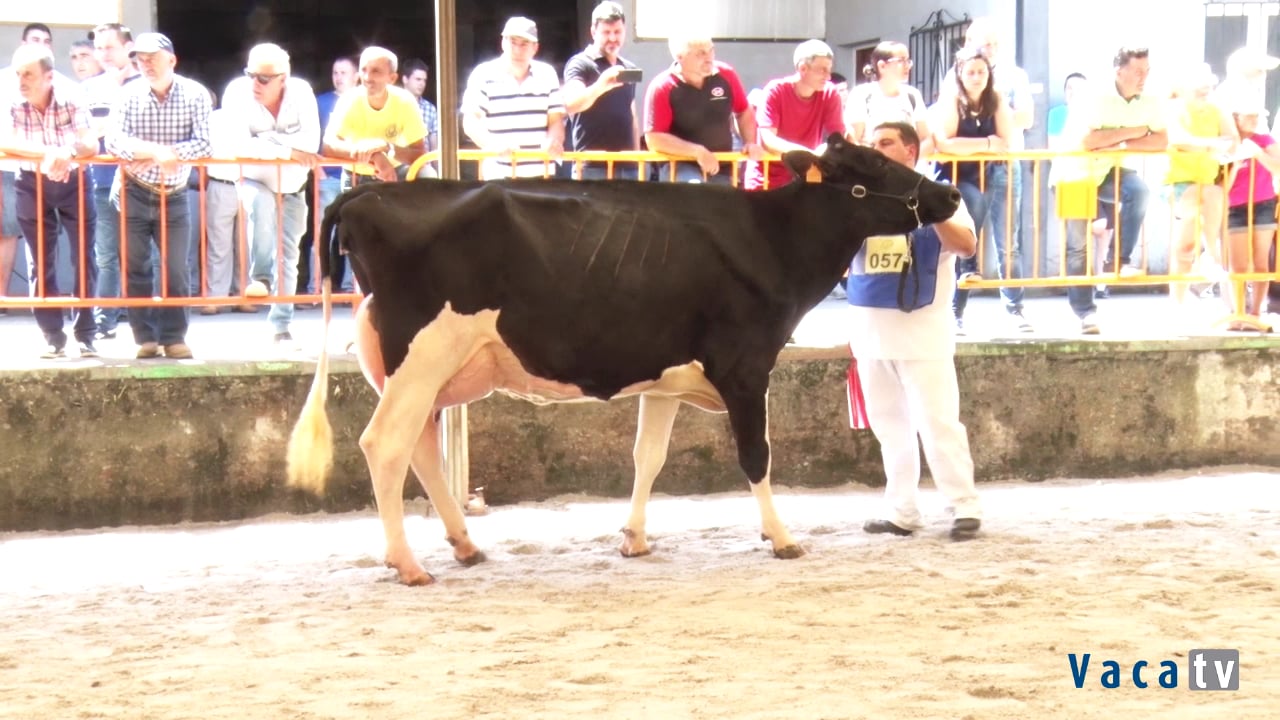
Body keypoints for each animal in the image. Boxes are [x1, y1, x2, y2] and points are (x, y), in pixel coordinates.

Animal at [286, 133, 962, 585]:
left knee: (421, 444)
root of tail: (369, 191)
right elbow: (756, 456)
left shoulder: (663, 379)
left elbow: (648, 456)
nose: (950, 190)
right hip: (423, 354)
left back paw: (464, 546)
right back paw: (408, 564)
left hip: (434, 371)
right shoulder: (746, 366)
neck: (773, 241)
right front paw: (783, 537)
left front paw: (634, 539)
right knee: (384, 444)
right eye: (875, 162)